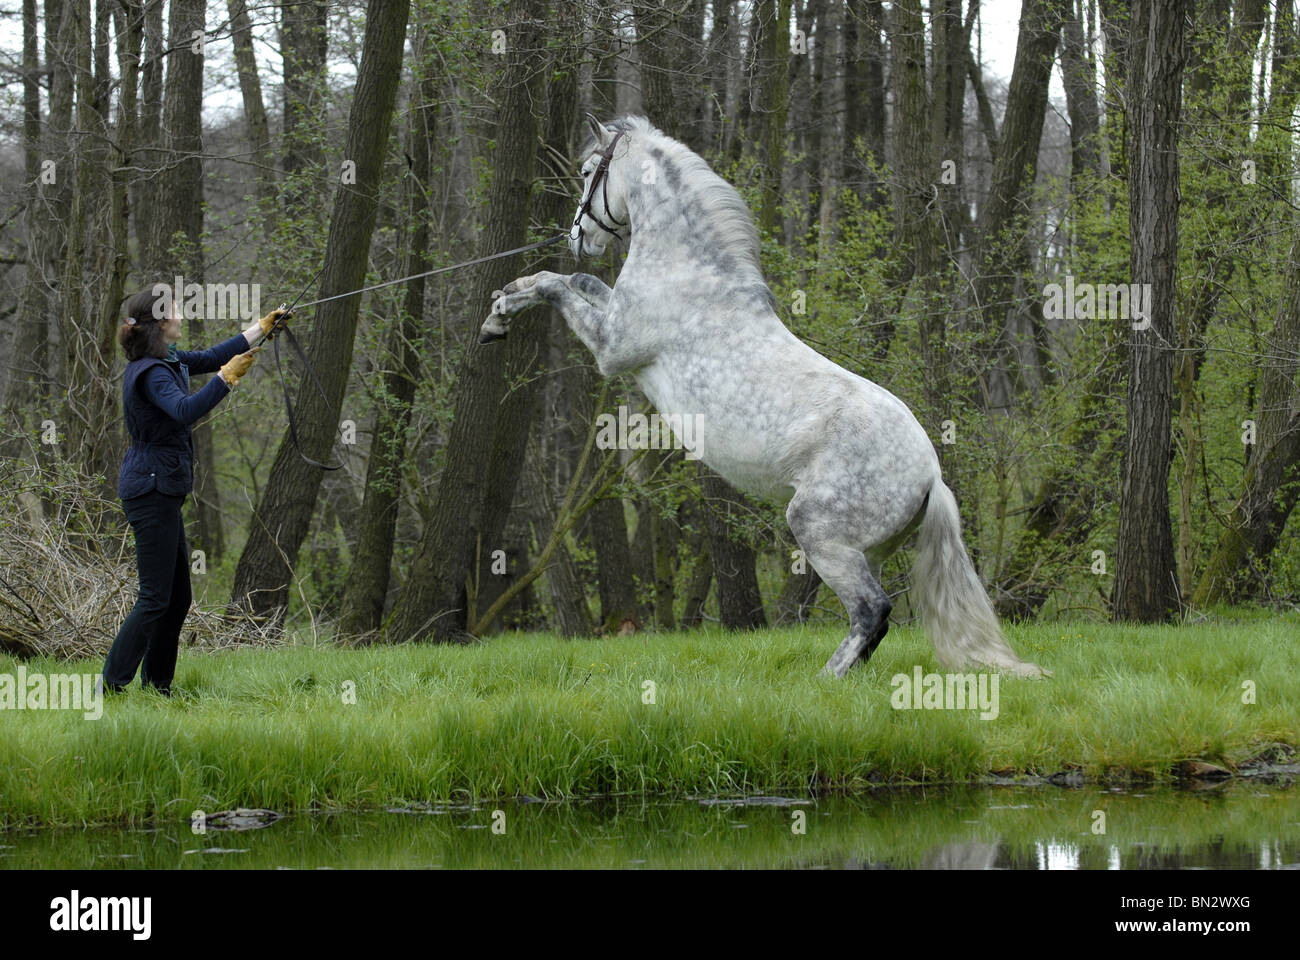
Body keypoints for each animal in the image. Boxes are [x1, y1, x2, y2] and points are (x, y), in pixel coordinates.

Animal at [479, 115, 1046, 680]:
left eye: (588, 171)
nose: (579, 236)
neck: (690, 274)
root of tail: (931, 475)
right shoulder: (612, 313)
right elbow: (572, 280)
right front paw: (500, 309)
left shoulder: (613, 347)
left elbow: (557, 286)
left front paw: (501, 311)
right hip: (866, 549)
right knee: (872, 617)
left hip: (817, 529)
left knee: (873, 609)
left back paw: (825, 681)